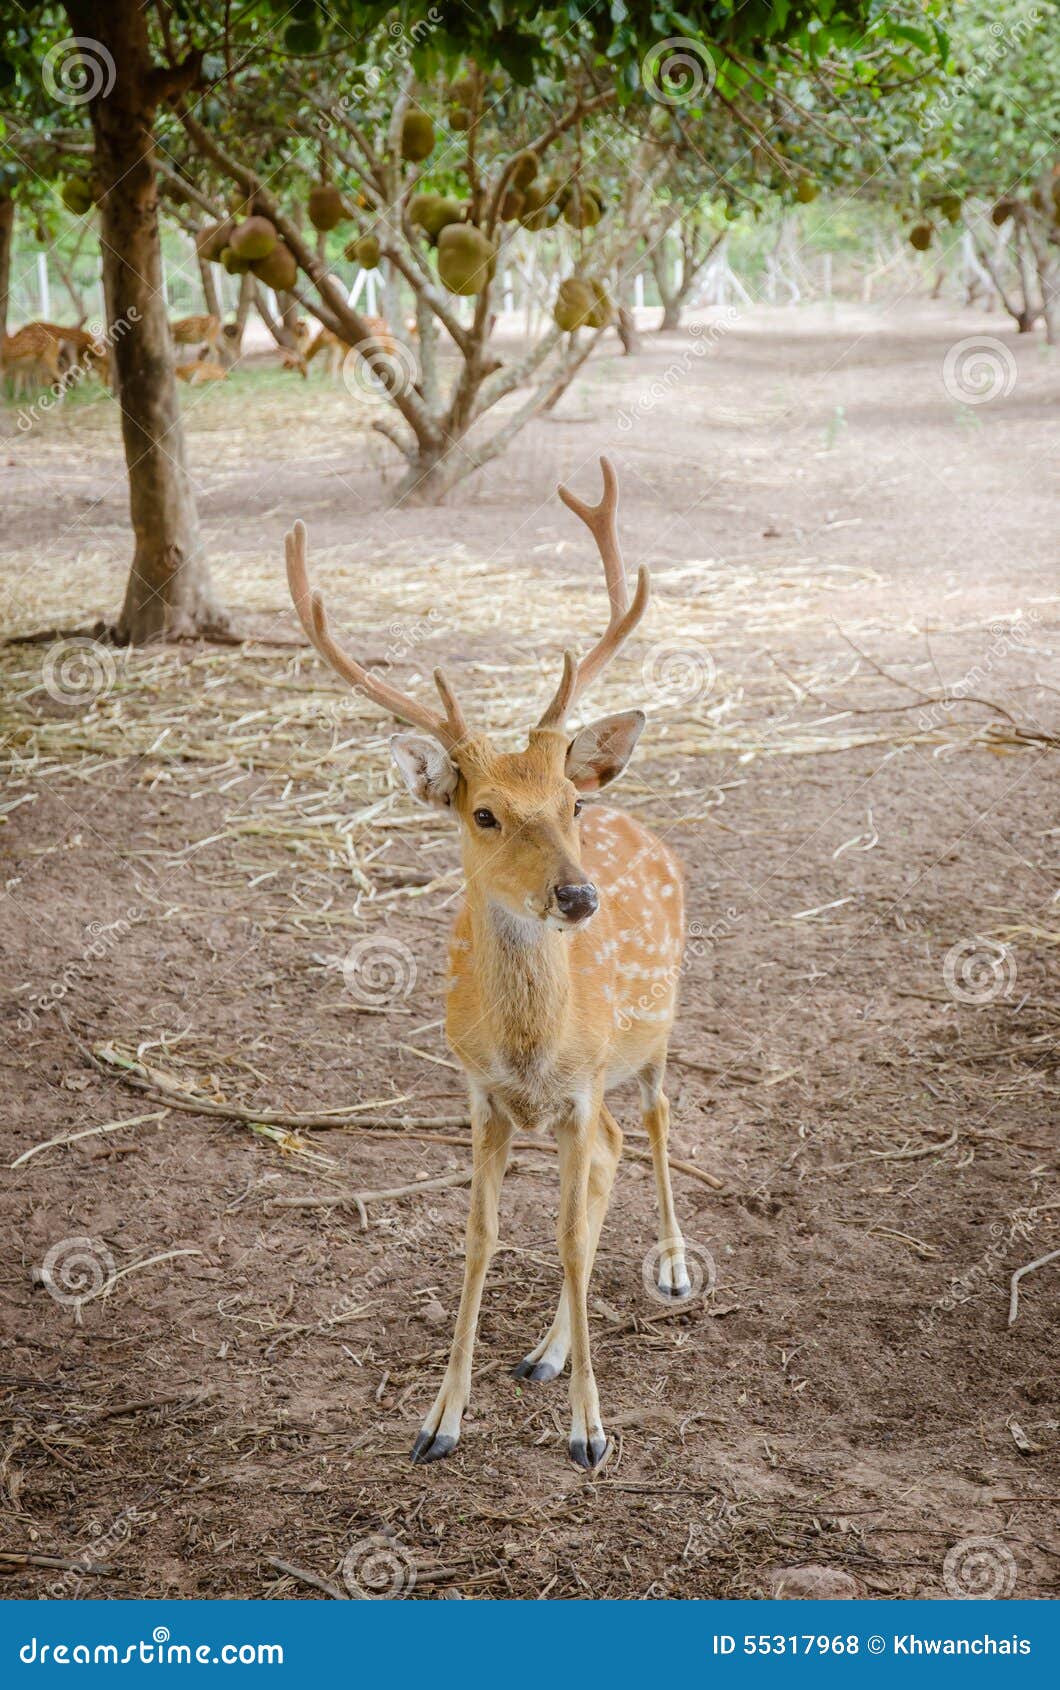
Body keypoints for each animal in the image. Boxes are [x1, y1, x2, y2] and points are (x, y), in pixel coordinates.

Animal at [284, 458, 690, 1470]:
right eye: (484, 814)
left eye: (567, 805)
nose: (579, 898)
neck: (533, 1050)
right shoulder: (478, 1093)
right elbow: (483, 1233)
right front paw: (441, 1418)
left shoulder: (582, 1086)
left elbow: (570, 1239)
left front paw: (590, 1432)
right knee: (614, 1153)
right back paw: (543, 1352)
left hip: (659, 1026)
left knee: (654, 1119)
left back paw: (670, 1267)